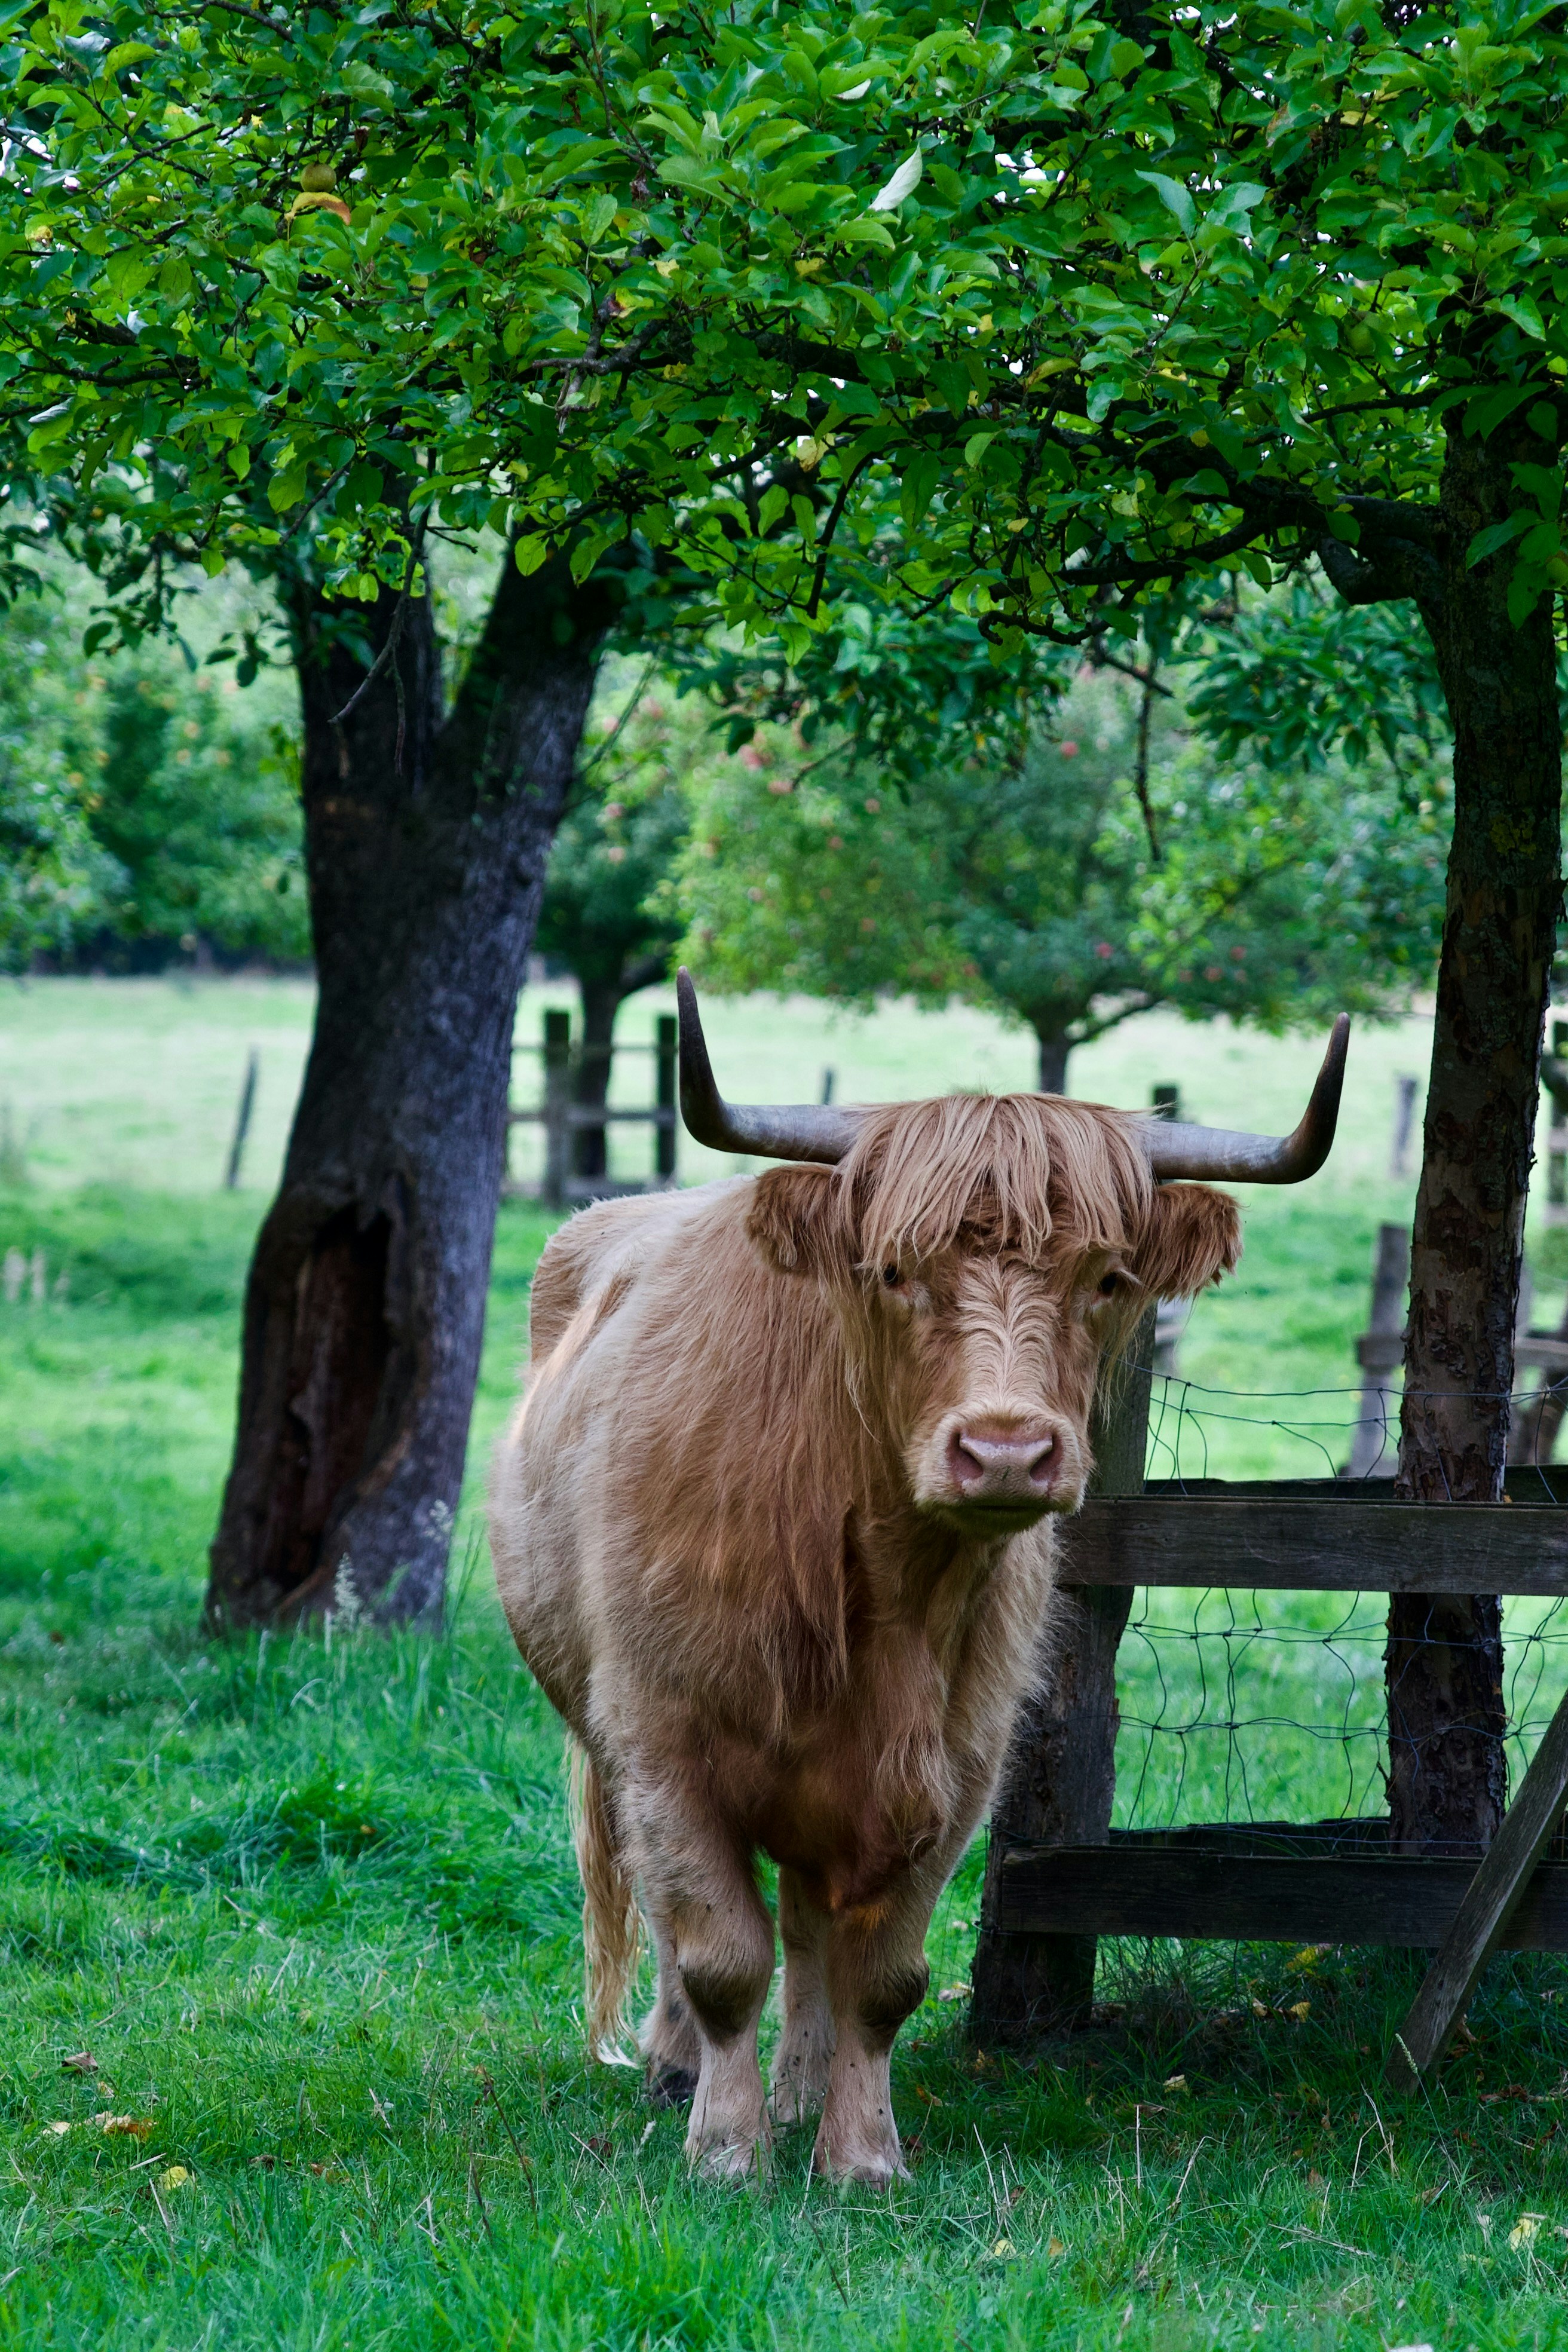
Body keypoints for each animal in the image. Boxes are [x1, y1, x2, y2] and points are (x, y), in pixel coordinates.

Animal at [490, 973, 1347, 2186]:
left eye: (1106, 1277)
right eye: (895, 1271)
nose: (1005, 1450)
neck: (871, 1579)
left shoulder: (956, 1762)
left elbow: (881, 1979)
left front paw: (859, 2155)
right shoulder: (664, 1741)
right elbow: (718, 1955)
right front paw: (726, 2149)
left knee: (810, 1927)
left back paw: (799, 2090)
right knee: (683, 1927)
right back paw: (679, 2068)